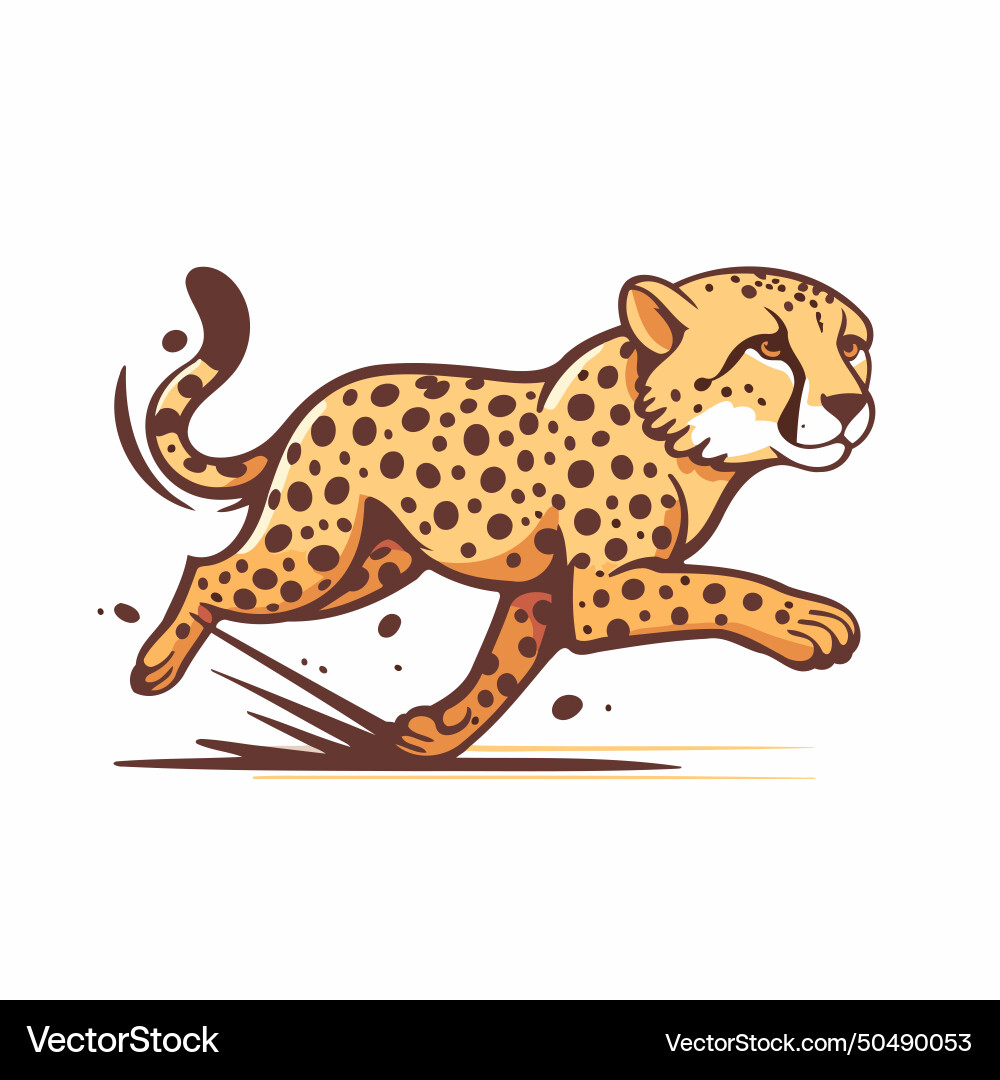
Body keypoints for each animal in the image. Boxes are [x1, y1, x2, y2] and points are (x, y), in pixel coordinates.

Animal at [119, 265, 874, 759]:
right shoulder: (605, 590)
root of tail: (316, 405)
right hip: (312, 558)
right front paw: (809, 621)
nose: (849, 406)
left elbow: (503, 666)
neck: (690, 444)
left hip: (373, 566)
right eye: (769, 347)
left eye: (852, 346)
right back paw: (151, 667)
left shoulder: (542, 589)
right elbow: (720, 586)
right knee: (209, 571)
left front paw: (436, 735)